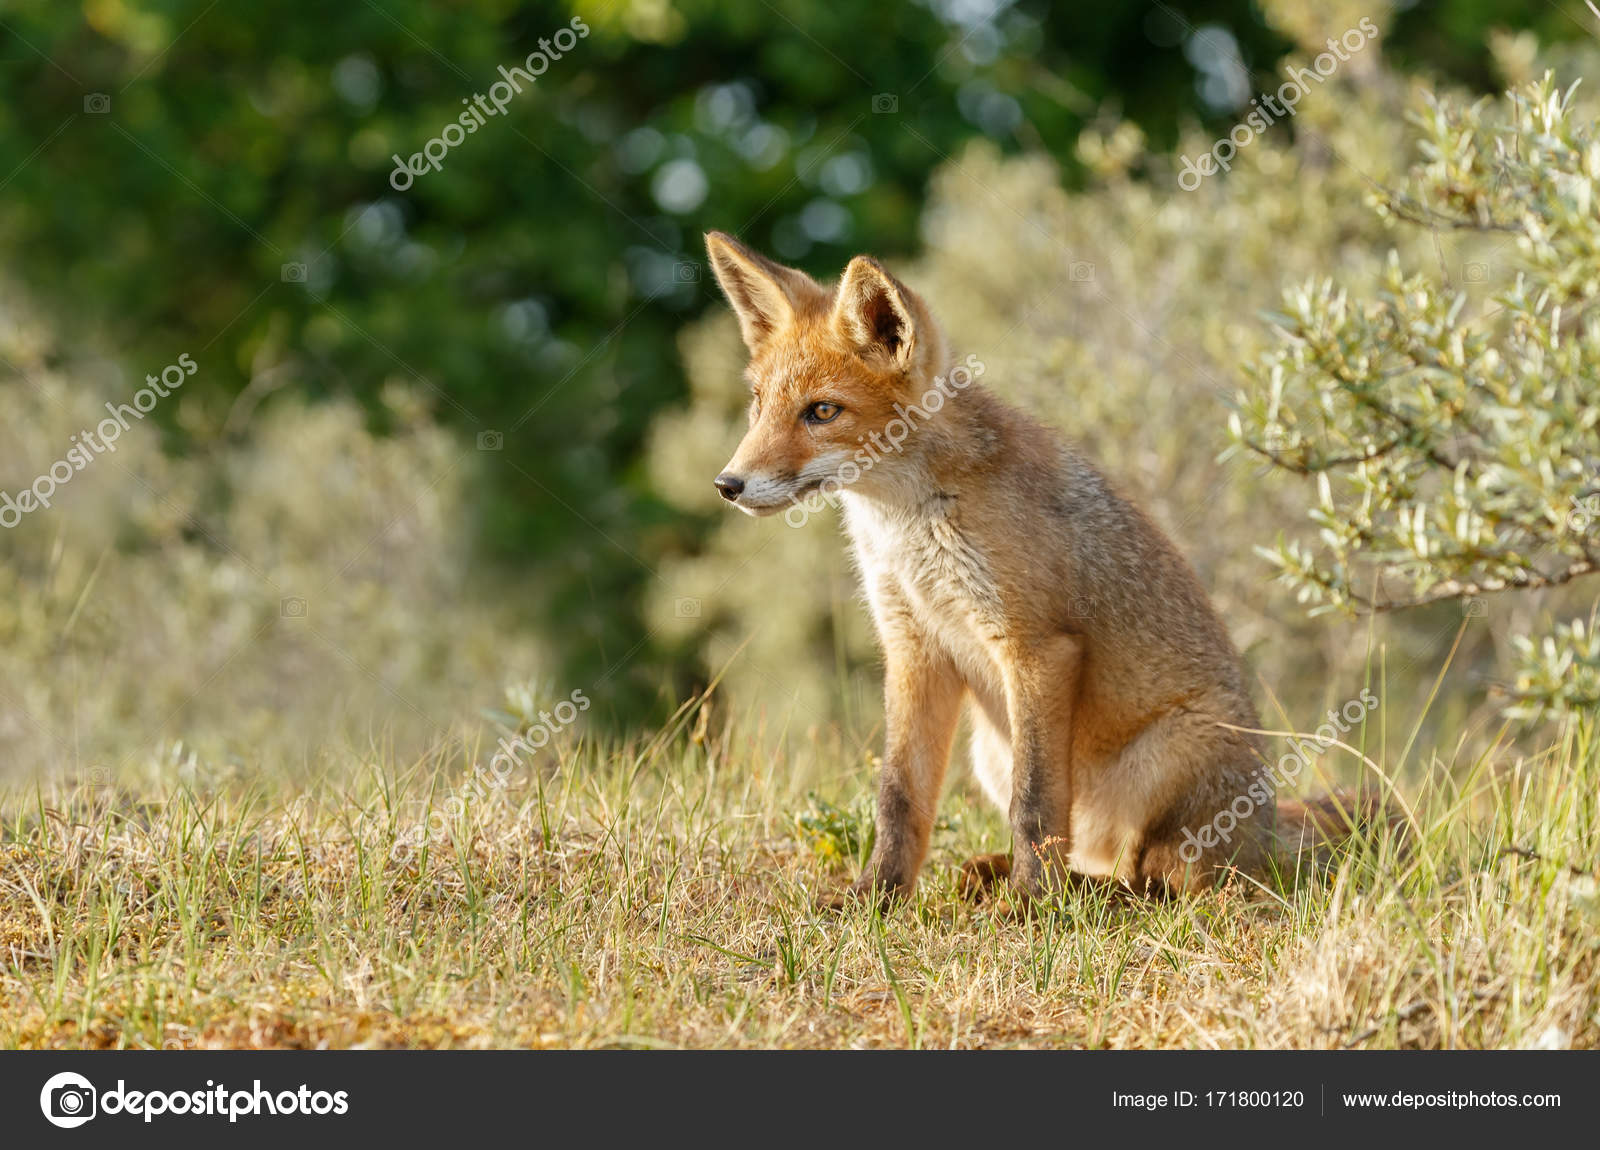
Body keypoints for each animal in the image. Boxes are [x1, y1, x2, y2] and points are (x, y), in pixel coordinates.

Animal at [703, 230, 1376, 906]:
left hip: (1170, 760)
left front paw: (1030, 909)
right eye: (759, 404)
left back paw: (1075, 895)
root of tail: (1264, 834)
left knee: (1163, 882)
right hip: (989, 751)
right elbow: (898, 798)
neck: (909, 526)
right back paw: (1004, 875)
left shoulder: (1037, 648)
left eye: (821, 412)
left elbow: (1034, 804)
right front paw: (877, 898)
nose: (728, 484)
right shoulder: (913, 648)